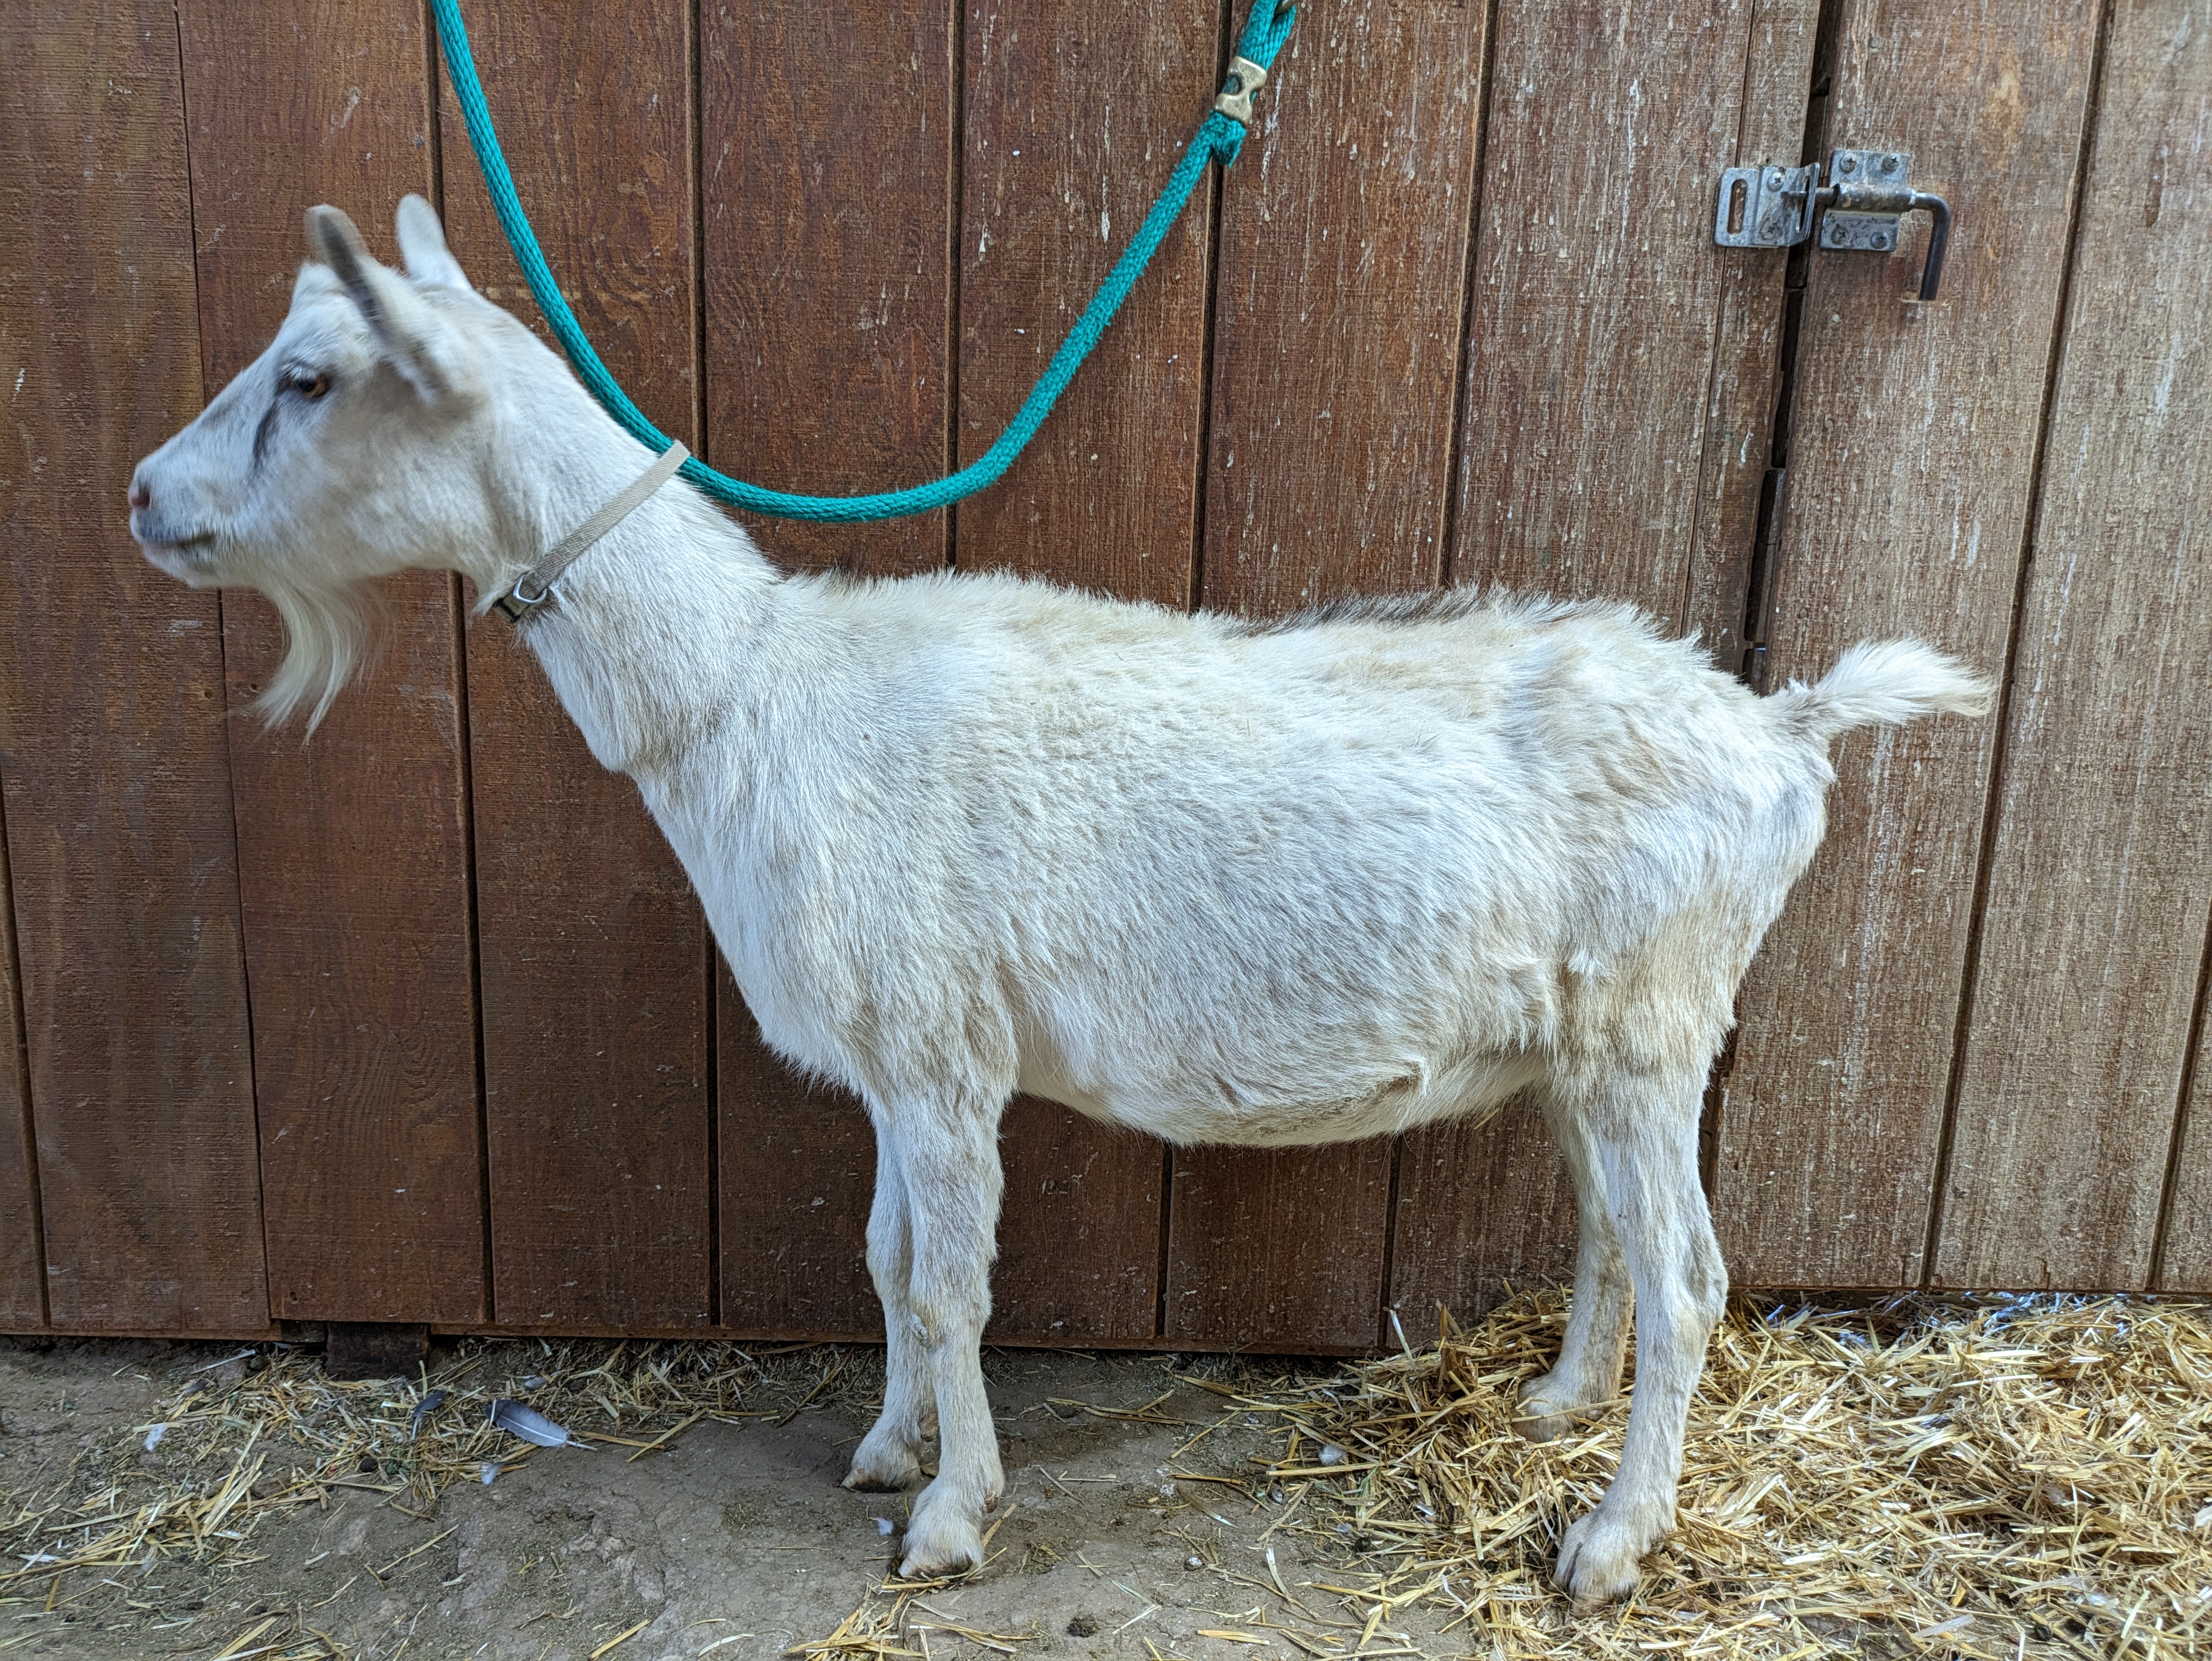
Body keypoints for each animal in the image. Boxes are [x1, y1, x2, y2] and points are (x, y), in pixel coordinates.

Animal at [129, 198, 1992, 1605]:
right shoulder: (898, 1059)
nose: (147, 498)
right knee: (1614, 1228)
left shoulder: (943, 1050)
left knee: (1689, 1273)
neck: (750, 692)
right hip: (1592, 1037)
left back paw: (1609, 1542)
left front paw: (947, 1520)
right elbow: (884, 1259)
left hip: (1656, 1010)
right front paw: (887, 1446)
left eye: (310, 375)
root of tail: (1782, 724)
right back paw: (1549, 1407)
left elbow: (952, 1284)